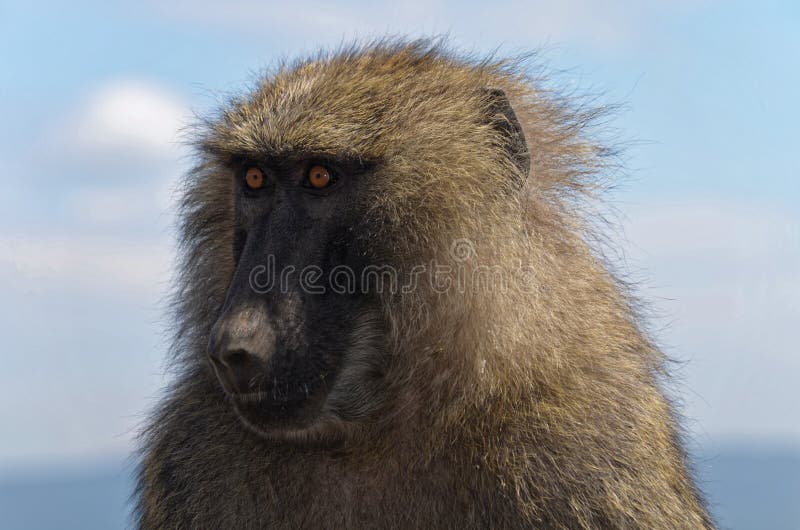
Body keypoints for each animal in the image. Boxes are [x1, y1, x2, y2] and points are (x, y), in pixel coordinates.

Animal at [135, 40, 714, 529]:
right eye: (254, 178)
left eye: (320, 176)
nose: (234, 347)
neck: (376, 426)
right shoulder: (195, 442)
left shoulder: (585, 439)